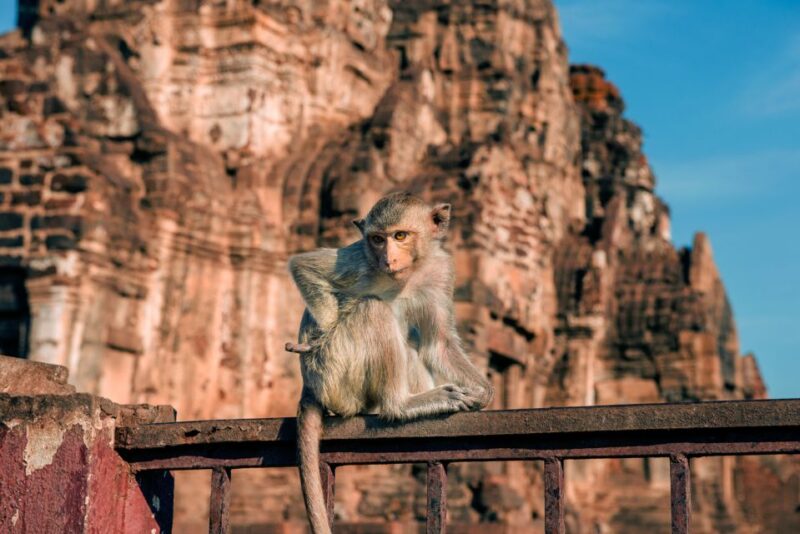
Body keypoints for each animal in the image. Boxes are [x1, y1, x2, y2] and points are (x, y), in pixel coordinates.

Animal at [286, 192, 493, 534]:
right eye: (377, 239)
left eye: (400, 236)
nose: (388, 259)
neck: (407, 275)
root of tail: (310, 388)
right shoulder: (358, 260)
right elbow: (303, 267)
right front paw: (318, 336)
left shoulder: (440, 271)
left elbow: (437, 344)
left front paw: (483, 390)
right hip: (335, 377)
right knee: (375, 310)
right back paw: (400, 405)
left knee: (409, 347)